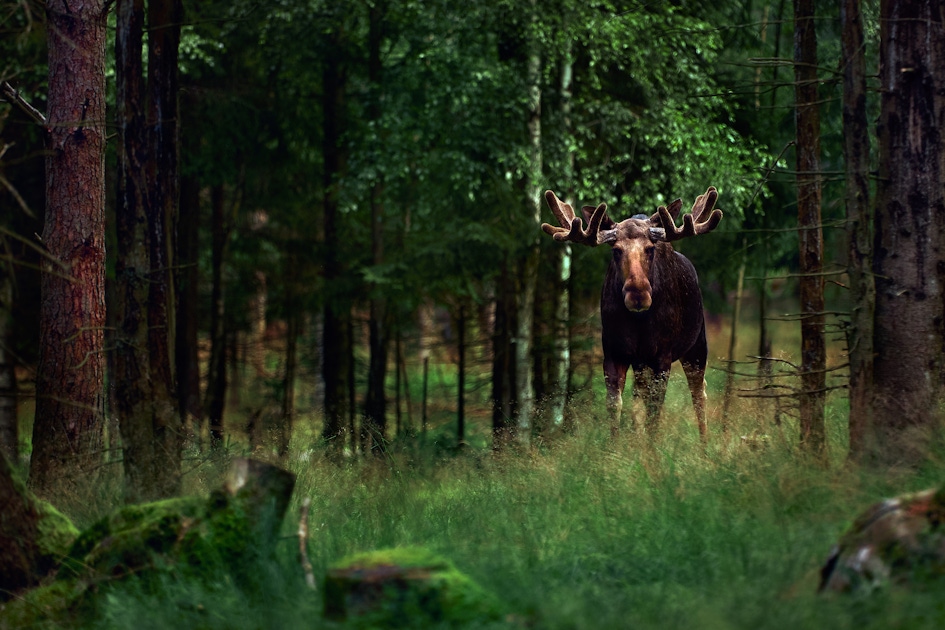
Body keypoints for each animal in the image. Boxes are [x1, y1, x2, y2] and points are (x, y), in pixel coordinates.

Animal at [542, 187, 723, 440]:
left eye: (650, 249)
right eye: (616, 251)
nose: (638, 294)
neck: (639, 323)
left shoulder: (662, 356)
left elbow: (655, 413)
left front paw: (652, 450)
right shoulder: (614, 352)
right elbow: (615, 406)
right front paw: (617, 446)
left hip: (697, 344)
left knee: (699, 393)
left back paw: (704, 444)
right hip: (641, 362)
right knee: (639, 398)